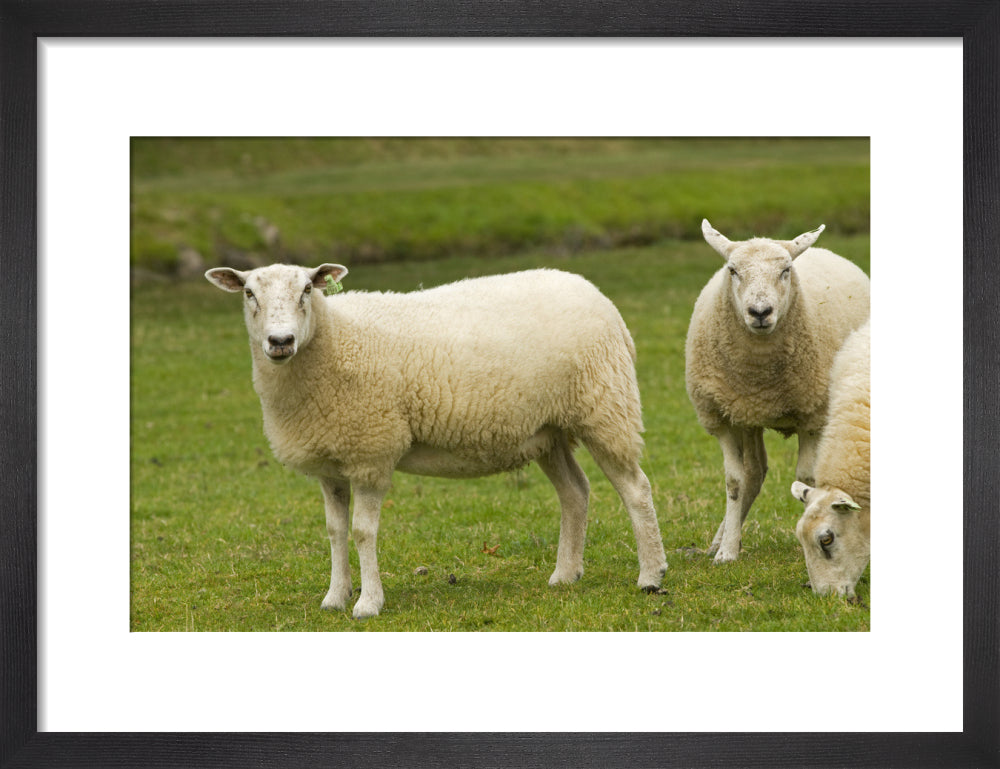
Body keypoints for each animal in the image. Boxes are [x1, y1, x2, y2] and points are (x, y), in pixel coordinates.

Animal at [205, 263, 668, 618]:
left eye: (306, 289)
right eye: (248, 293)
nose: (280, 341)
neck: (333, 338)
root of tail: (596, 294)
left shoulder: (372, 451)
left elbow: (362, 532)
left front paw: (369, 603)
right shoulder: (331, 463)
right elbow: (335, 532)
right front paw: (335, 597)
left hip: (605, 407)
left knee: (636, 490)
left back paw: (651, 575)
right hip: (547, 431)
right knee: (575, 492)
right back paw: (565, 574)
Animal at [684, 219, 870, 563]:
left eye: (785, 271)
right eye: (732, 270)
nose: (760, 312)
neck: (759, 379)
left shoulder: (812, 417)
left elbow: (806, 481)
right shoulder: (723, 417)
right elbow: (735, 482)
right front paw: (726, 552)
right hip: (746, 416)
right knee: (753, 474)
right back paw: (722, 540)